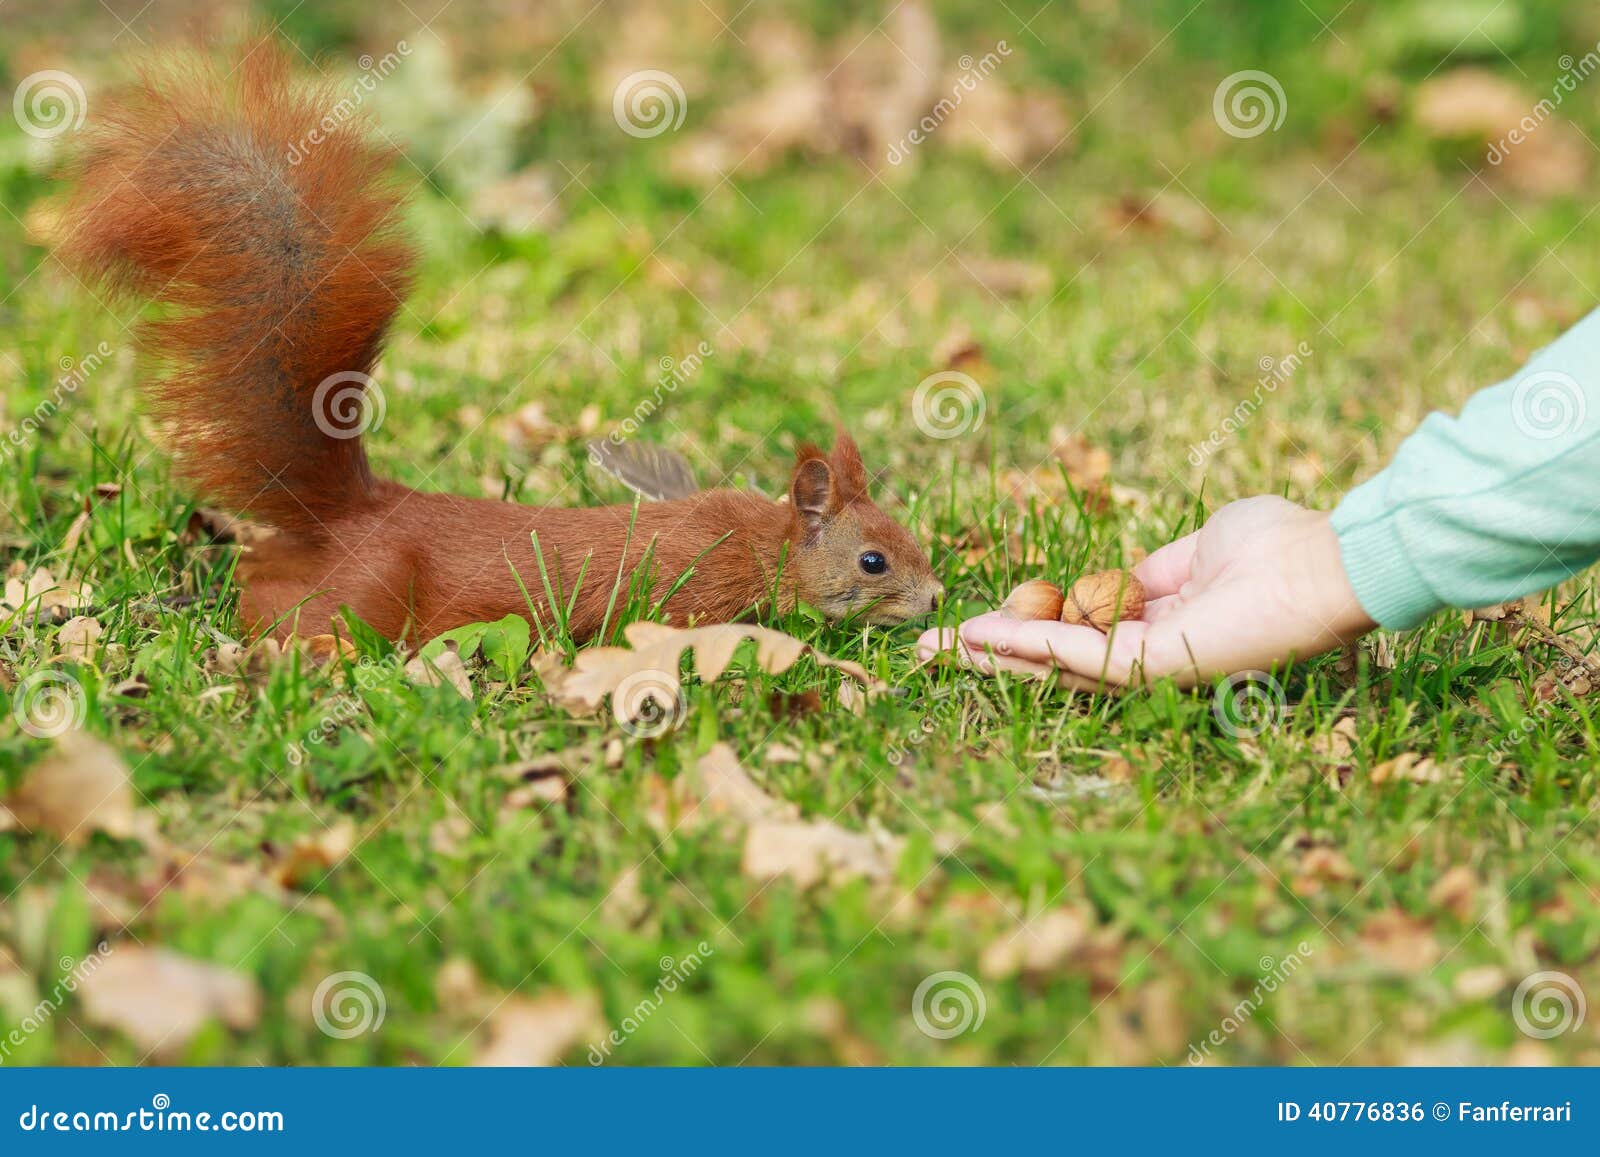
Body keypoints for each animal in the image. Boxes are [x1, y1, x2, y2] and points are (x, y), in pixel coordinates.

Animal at [57, 42, 944, 645]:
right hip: (369, 593)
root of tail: (359, 510)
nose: (937, 599)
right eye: (874, 561)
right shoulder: (697, 595)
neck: (766, 542)